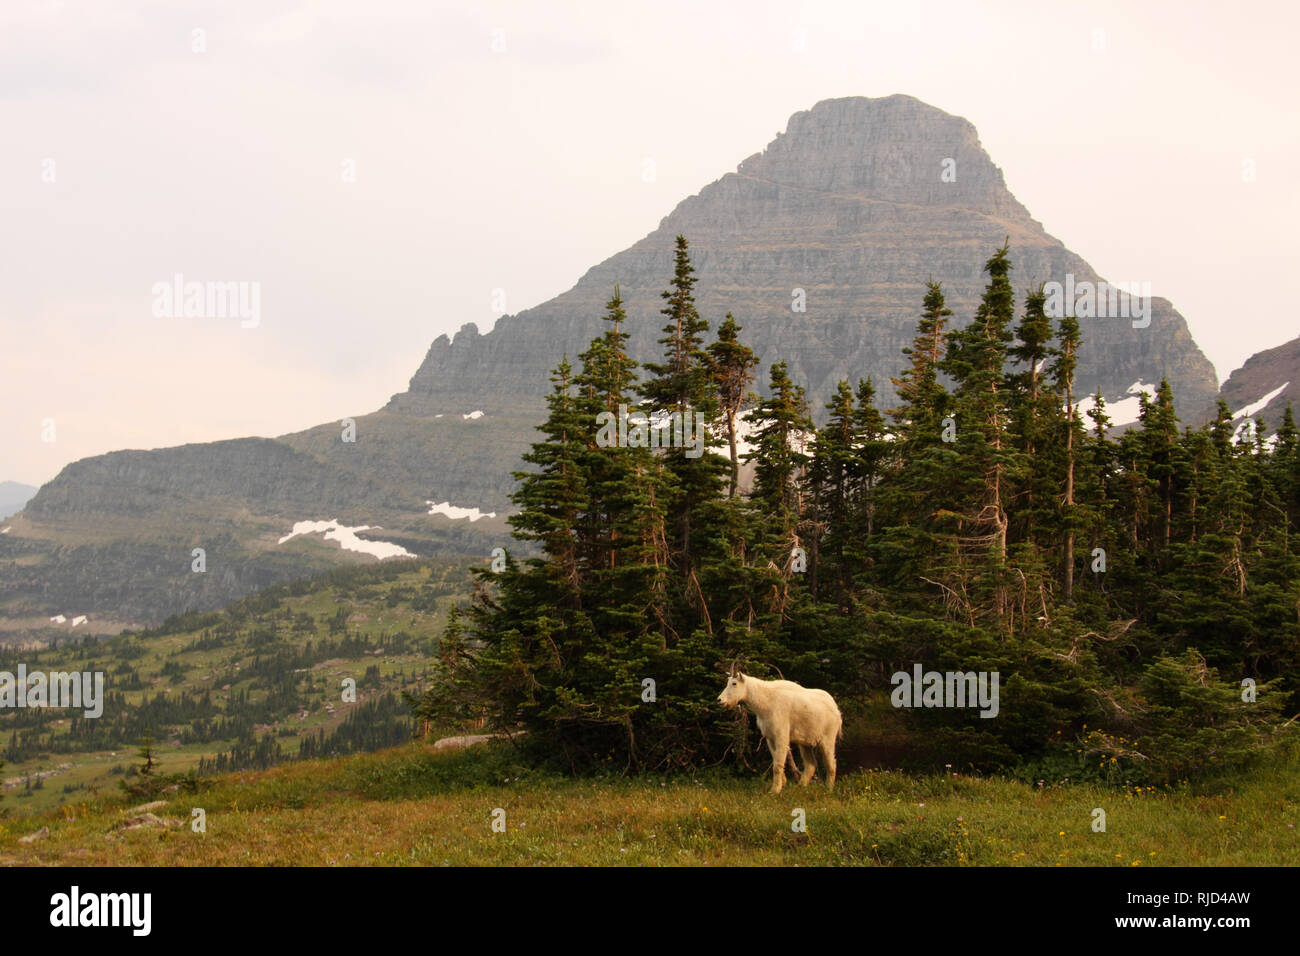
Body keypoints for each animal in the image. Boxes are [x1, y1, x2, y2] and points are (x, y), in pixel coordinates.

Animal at [718, 664, 841, 793]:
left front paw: (775, 790)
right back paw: (800, 787)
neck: (765, 701)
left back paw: (829, 789)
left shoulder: (781, 735)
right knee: (811, 764)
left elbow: (777, 765)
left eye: (734, 683)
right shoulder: (770, 737)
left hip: (827, 739)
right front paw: (783, 783)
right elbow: (776, 760)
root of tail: (836, 710)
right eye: (728, 682)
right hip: (805, 743)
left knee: (831, 764)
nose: (720, 700)